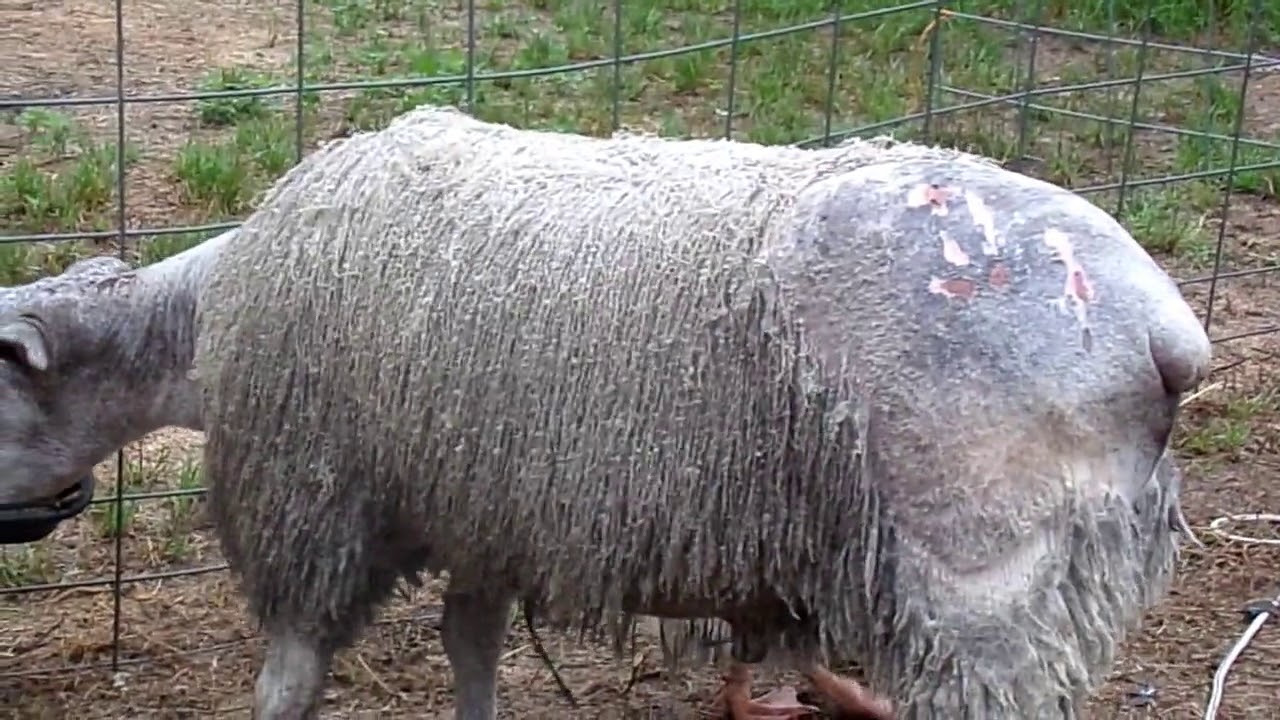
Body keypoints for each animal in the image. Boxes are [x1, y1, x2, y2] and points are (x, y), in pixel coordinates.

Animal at [0, 104, 1211, 719]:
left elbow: (289, 682)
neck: (203, 326)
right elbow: (470, 647)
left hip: (984, 576)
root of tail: (1162, 327)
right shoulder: (485, 502)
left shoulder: (315, 504)